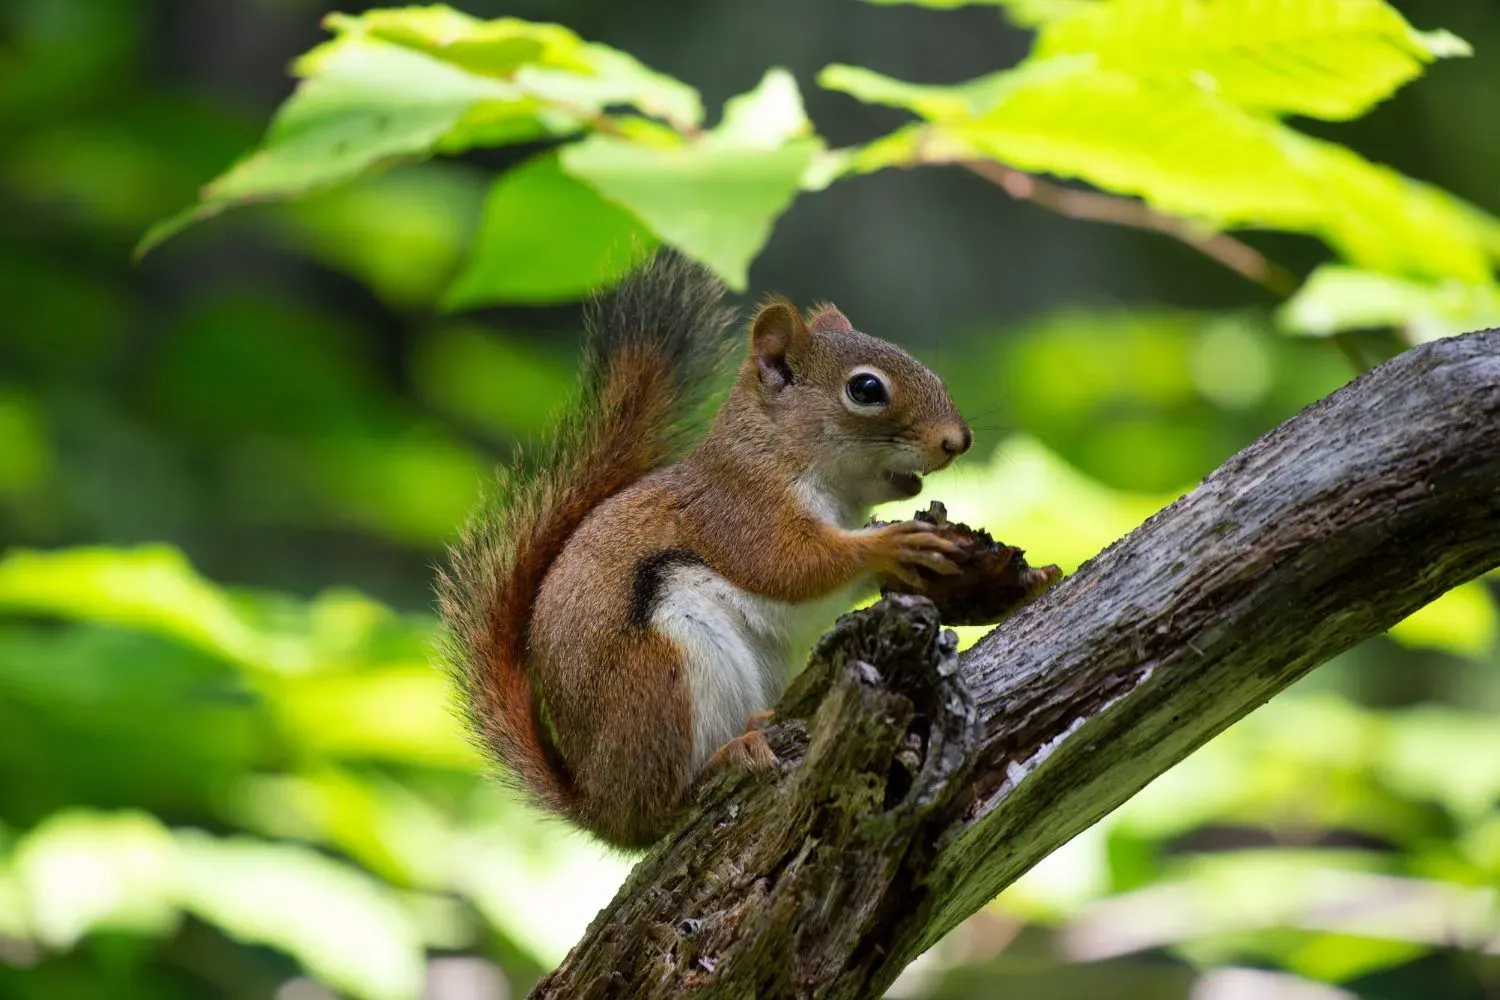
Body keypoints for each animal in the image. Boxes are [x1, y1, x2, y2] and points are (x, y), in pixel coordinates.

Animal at [438, 250, 972, 849]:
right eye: (865, 389)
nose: (958, 441)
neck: (778, 452)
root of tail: (604, 810)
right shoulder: (739, 512)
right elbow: (790, 567)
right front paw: (892, 543)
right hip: (664, 672)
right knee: (667, 801)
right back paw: (727, 756)